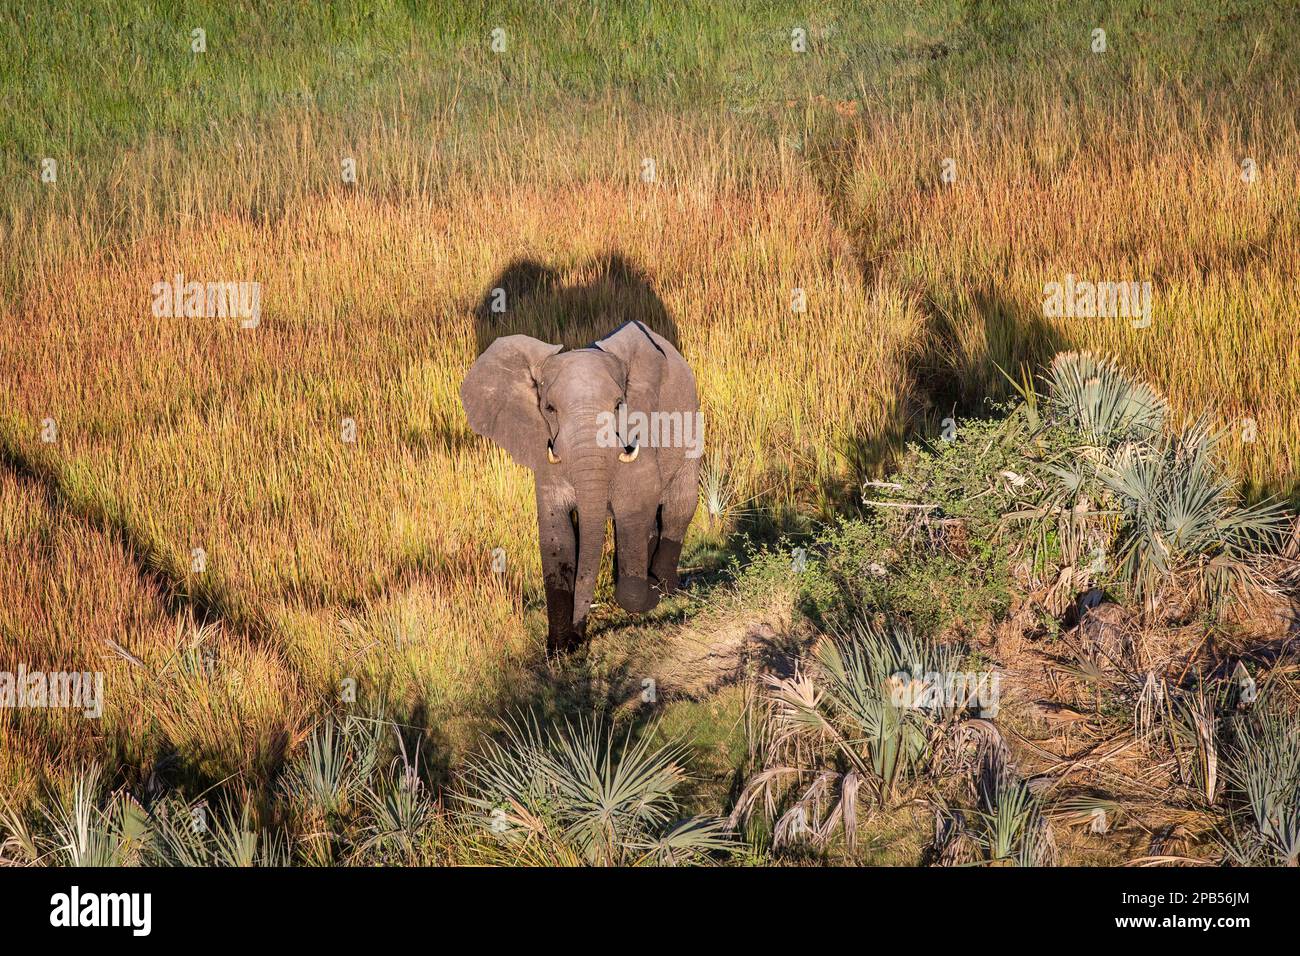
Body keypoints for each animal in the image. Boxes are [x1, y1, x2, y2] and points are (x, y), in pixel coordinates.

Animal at [461, 320, 701, 654]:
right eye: (549, 408)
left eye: (619, 405)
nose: (579, 633)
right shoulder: (545, 454)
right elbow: (558, 537)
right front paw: (560, 649)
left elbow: (635, 507)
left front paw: (648, 594)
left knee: (678, 508)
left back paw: (665, 586)